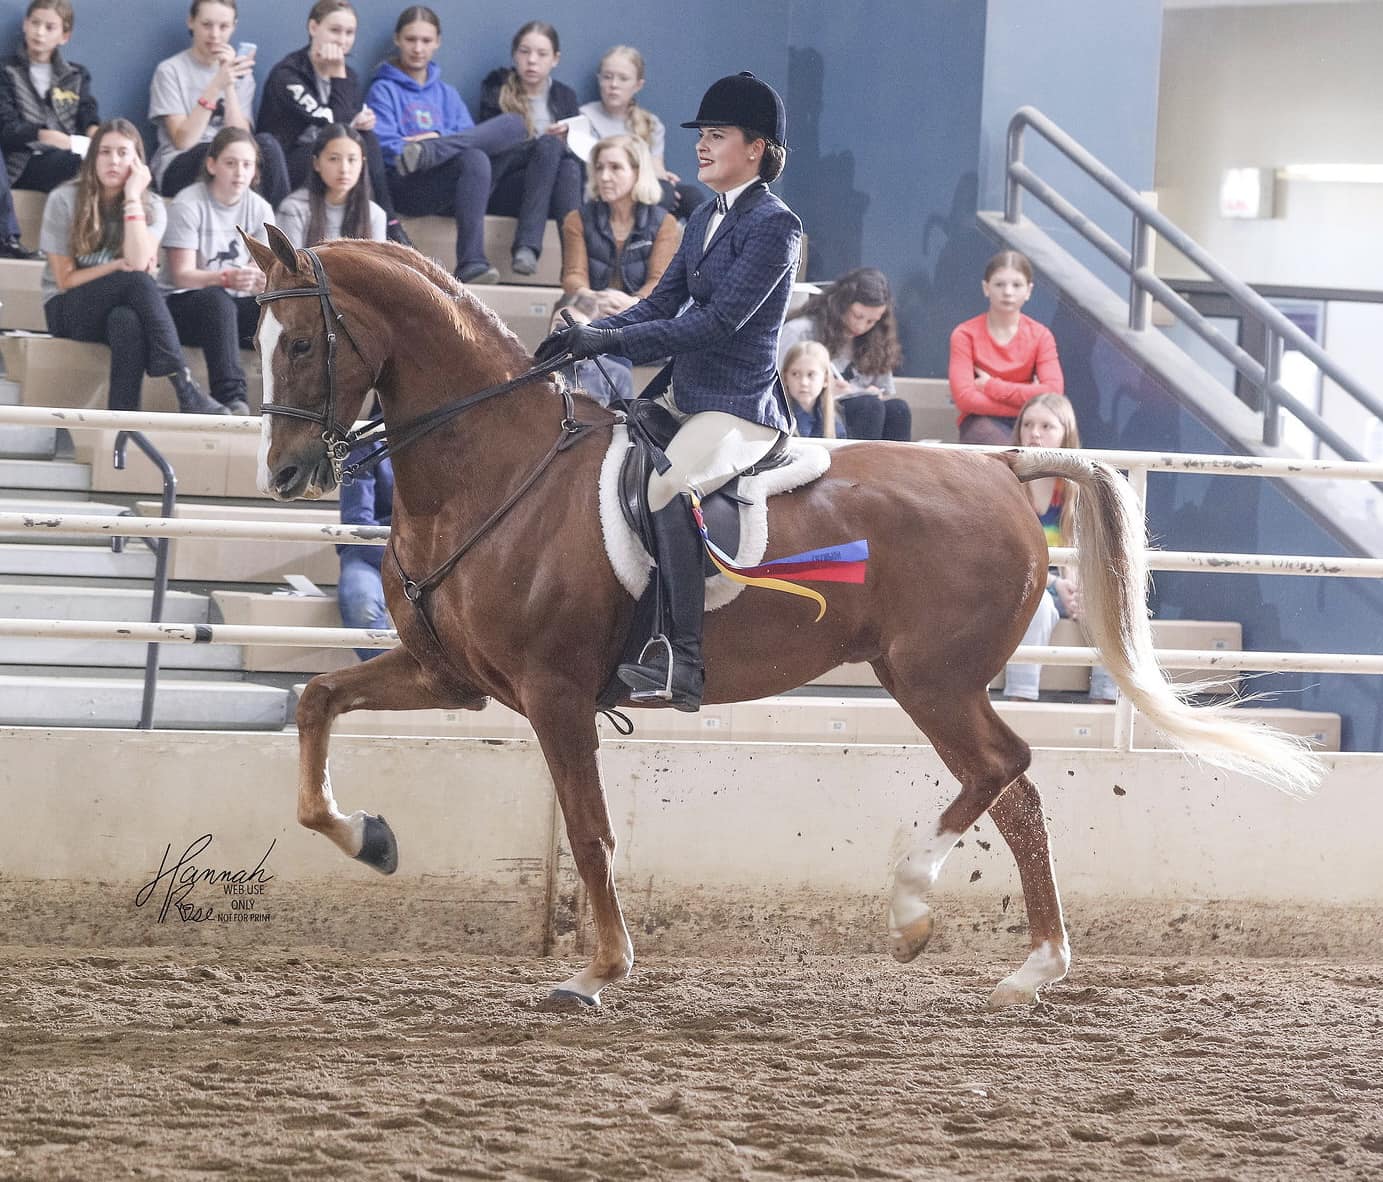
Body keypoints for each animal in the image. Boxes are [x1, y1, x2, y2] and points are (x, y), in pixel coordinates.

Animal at [241, 226, 1319, 1009]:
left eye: (300, 341)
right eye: (257, 339)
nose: (284, 476)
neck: (494, 471)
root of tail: (1006, 468)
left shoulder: (553, 695)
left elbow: (589, 832)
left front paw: (597, 971)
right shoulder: (454, 678)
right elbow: (316, 702)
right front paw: (367, 838)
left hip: (929, 678)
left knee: (1003, 772)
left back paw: (925, 912)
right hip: (934, 679)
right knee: (1013, 790)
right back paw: (1022, 964)